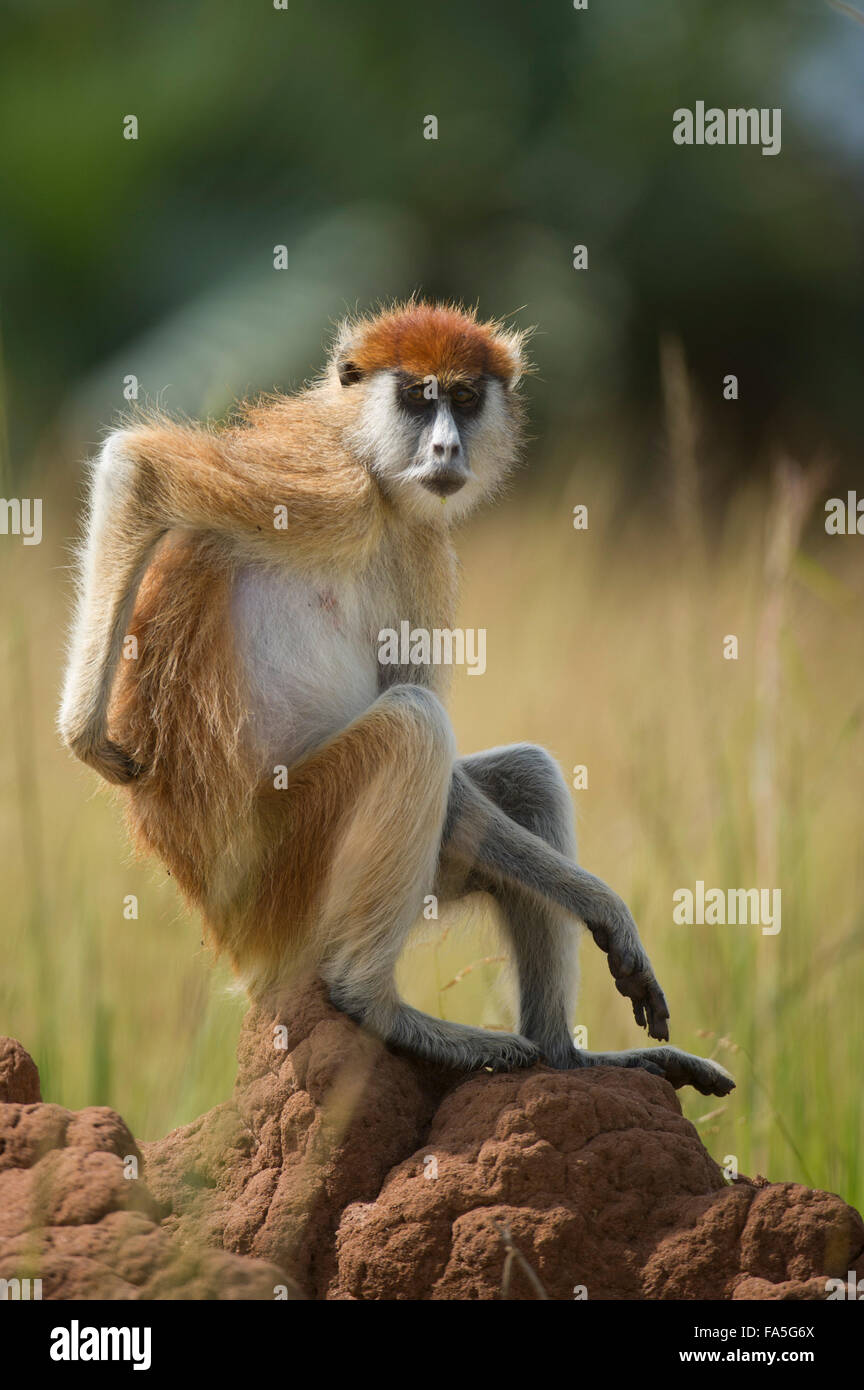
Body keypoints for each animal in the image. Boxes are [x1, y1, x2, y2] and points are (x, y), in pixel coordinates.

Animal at [58, 299, 733, 1097]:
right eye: (417, 396)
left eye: (465, 399)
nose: (446, 448)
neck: (375, 473)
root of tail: (236, 943)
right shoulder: (327, 484)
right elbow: (139, 469)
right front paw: (84, 733)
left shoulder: (419, 543)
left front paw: (596, 911)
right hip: (285, 878)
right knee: (414, 729)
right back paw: (374, 1005)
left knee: (522, 772)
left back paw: (564, 1056)